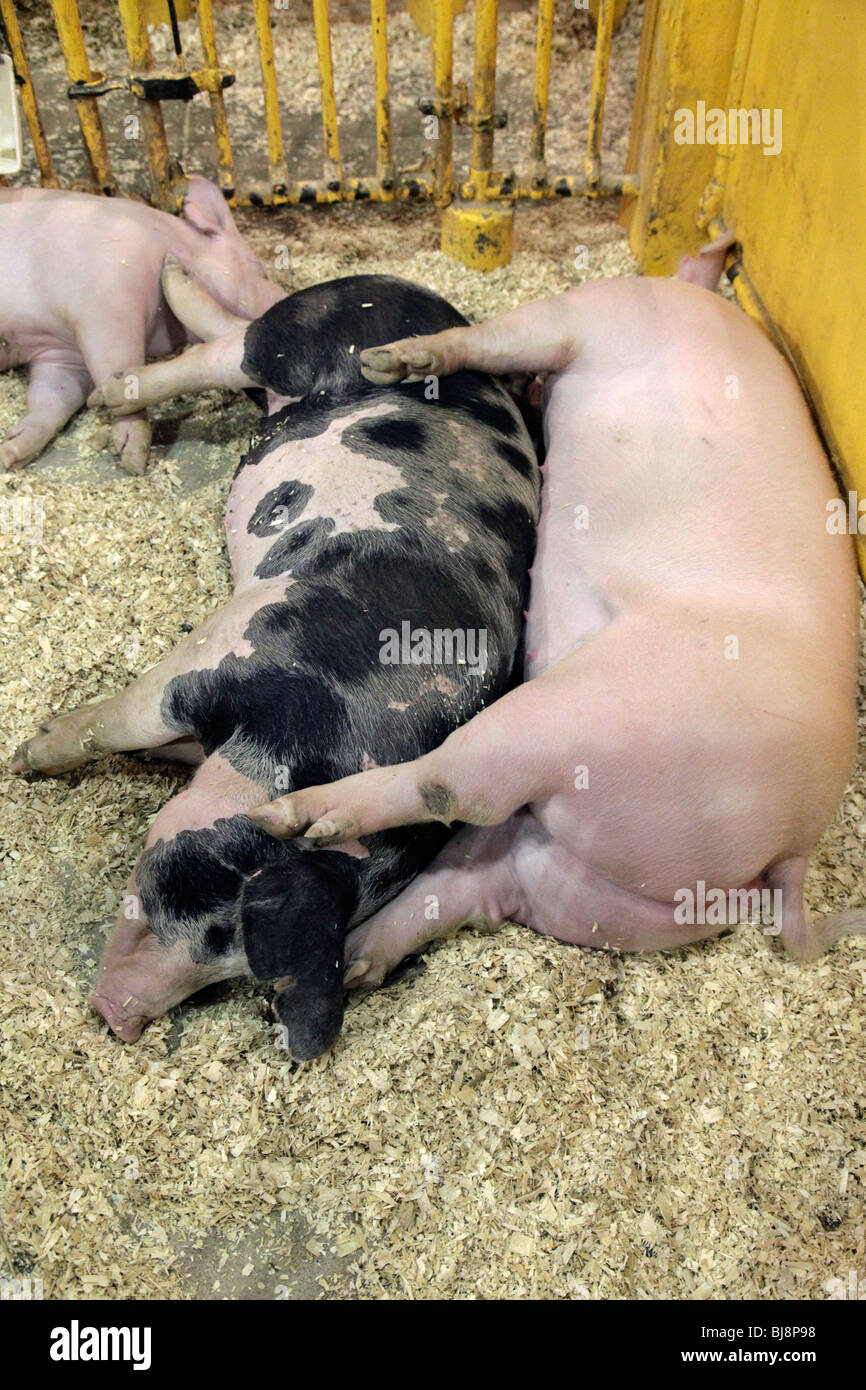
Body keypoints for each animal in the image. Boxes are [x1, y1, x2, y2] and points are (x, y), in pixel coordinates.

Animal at [0, 175, 283, 473]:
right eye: (260, 270)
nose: (284, 296)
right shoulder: (107, 306)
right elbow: (118, 361)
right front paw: (134, 458)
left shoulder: (62, 354)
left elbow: (51, 400)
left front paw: (8, 454)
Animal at [11, 267, 539, 1058]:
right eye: (216, 915)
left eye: (233, 963)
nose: (119, 1017)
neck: (328, 729)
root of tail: (428, 298)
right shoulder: (226, 644)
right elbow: (117, 720)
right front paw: (27, 754)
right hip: (304, 334)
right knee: (228, 346)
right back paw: (118, 386)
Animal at [247, 262, 865, 987]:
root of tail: (791, 846)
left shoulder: (581, 318)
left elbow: (495, 339)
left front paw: (391, 361)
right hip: (599, 887)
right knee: (468, 881)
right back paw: (357, 962)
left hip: (589, 713)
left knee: (449, 785)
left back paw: (290, 819)